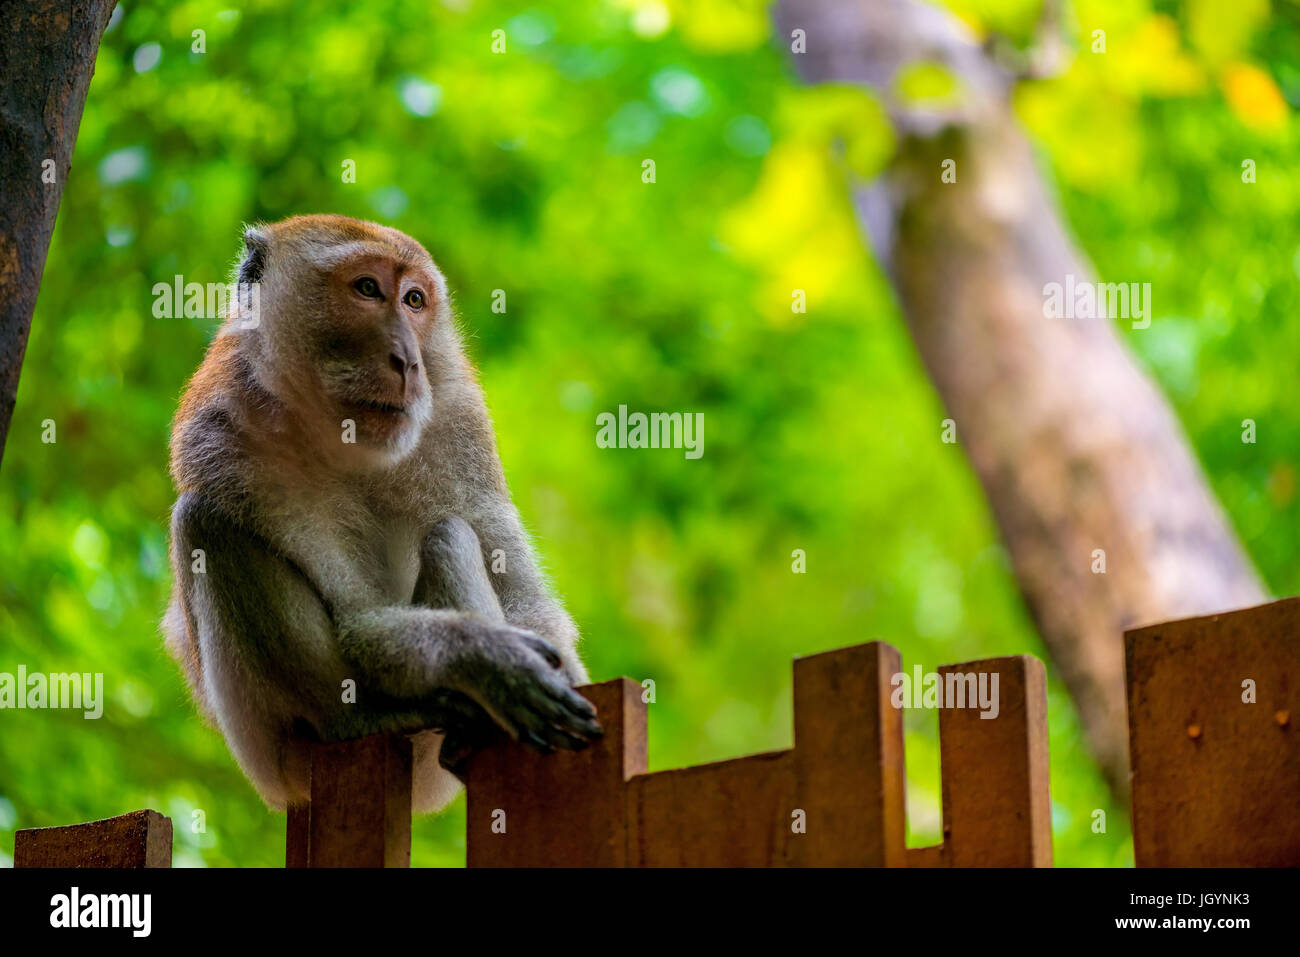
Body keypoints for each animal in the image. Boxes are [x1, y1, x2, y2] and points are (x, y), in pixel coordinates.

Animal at [161, 214, 601, 813]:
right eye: (368, 289)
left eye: (415, 299)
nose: (408, 361)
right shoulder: (224, 433)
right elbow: (358, 618)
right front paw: (490, 658)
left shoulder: (457, 415)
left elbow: (525, 598)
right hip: (272, 759)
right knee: (205, 523)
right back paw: (357, 720)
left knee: (450, 533)